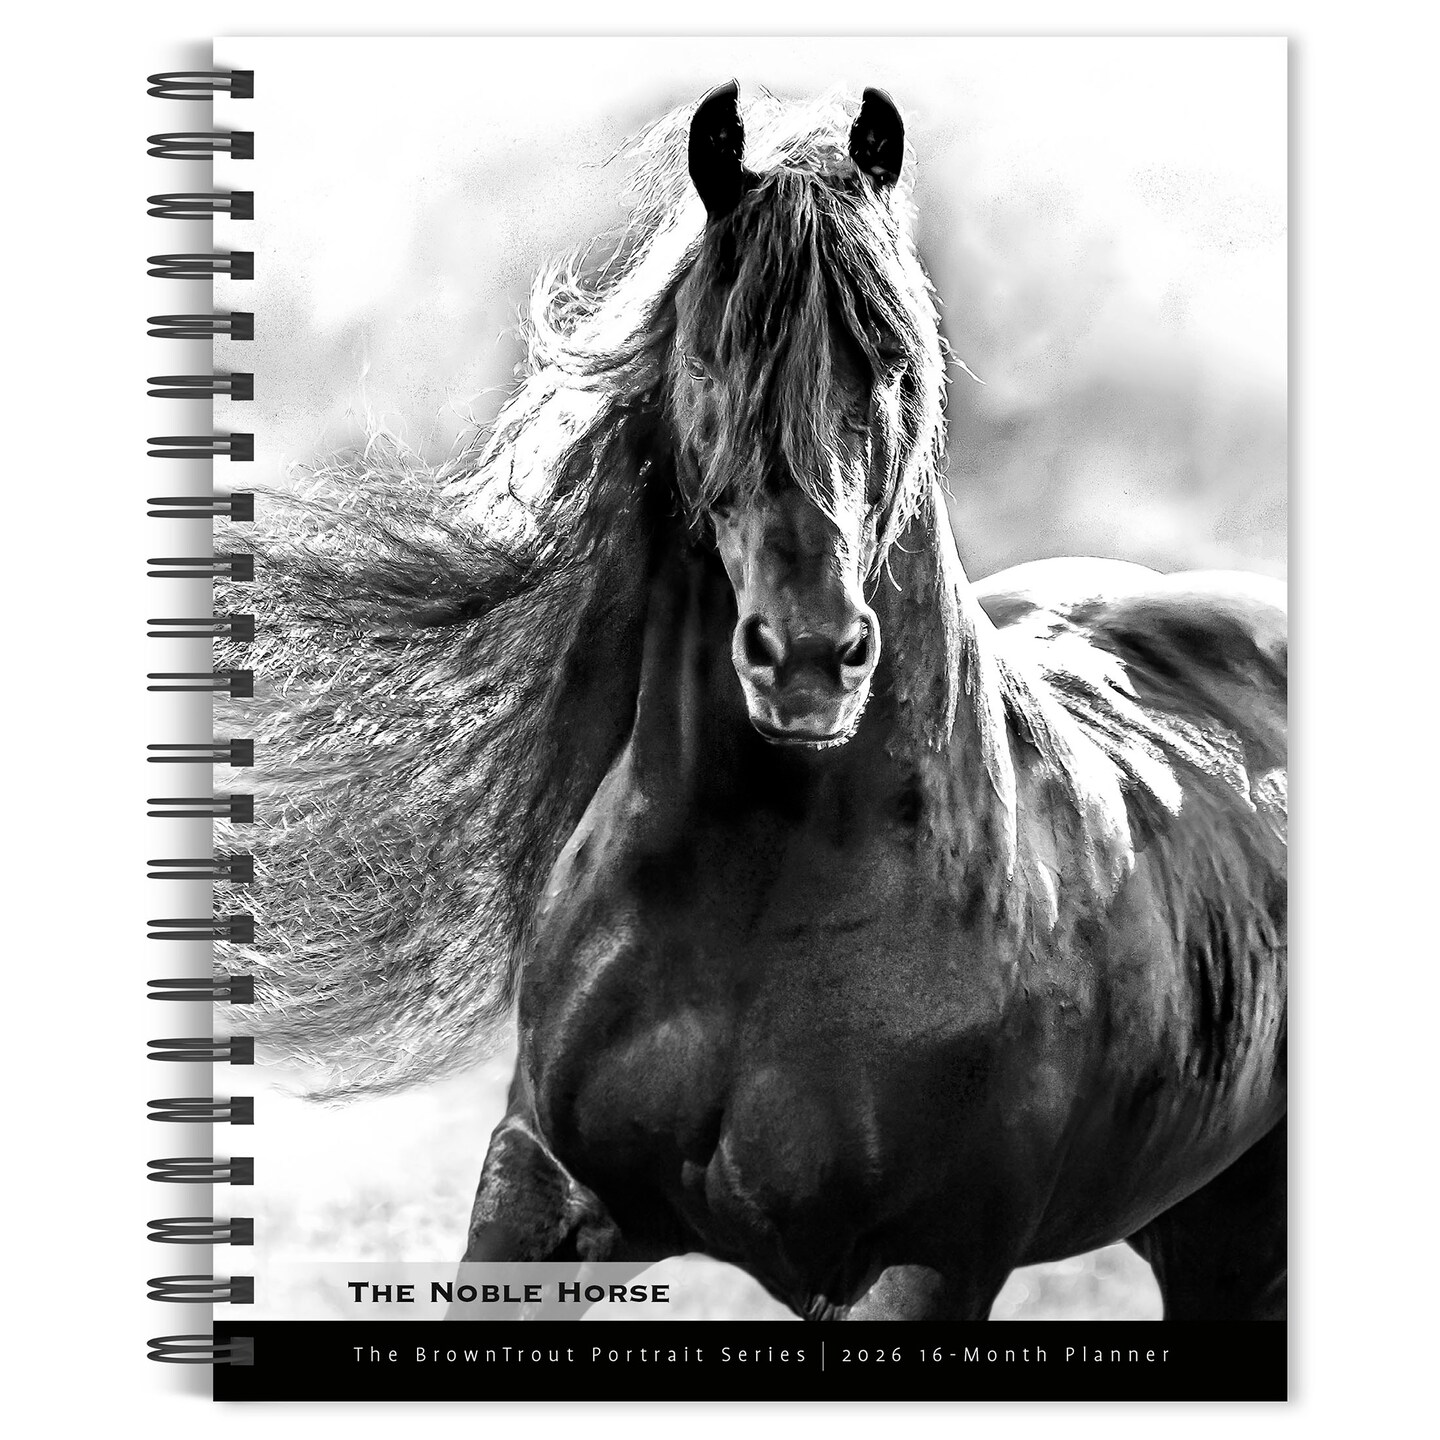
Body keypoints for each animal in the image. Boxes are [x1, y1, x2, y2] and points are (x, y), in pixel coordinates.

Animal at [223, 83, 1286, 1322]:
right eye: (718, 348)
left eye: (893, 358)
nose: (812, 657)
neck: (762, 896)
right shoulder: (545, 1185)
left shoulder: (919, 1262)